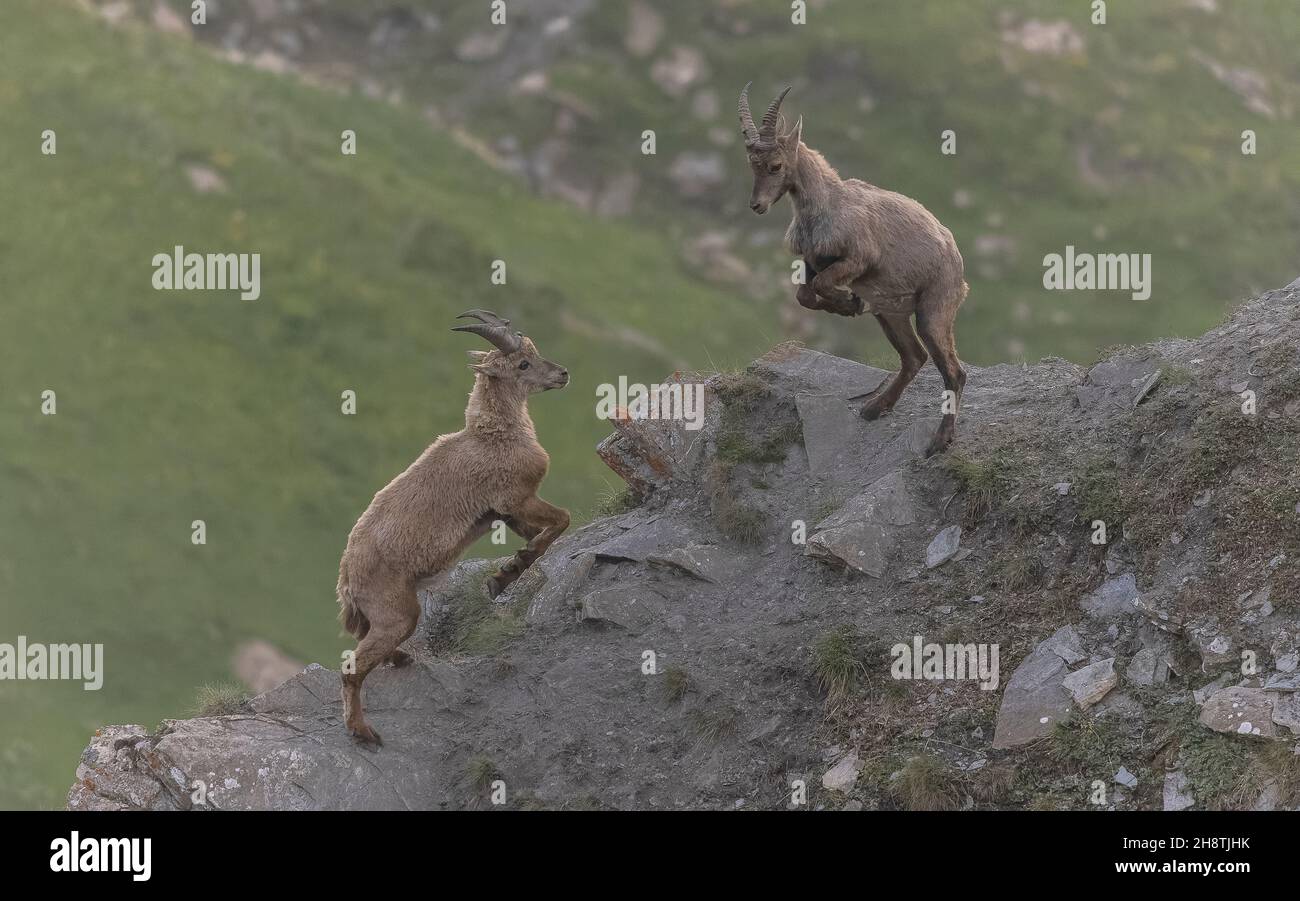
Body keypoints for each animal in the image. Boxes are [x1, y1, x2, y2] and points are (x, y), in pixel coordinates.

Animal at [336, 310, 571, 745]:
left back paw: (400, 659)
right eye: (522, 364)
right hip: (398, 612)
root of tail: (347, 577)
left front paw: (507, 571)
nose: (562, 373)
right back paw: (363, 730)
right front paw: (503, 575)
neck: (493, 435)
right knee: (353, 667)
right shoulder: (516, 498)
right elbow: (561, 520)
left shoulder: (506, 514)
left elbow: (541, 534)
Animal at [739, 83, 968, 457]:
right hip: (891, 313)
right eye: (752, 165)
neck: (827, 205)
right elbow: (805, 295)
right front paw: (848, 304)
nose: (756, 205)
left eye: (775, 165)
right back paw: (875, 407)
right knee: (914, 356)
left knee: (953, 371)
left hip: (933, 308)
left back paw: (940, 440)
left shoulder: (859, 259)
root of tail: (956, 261)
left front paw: (849, 303)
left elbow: (824, 284)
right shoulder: (811, 260)